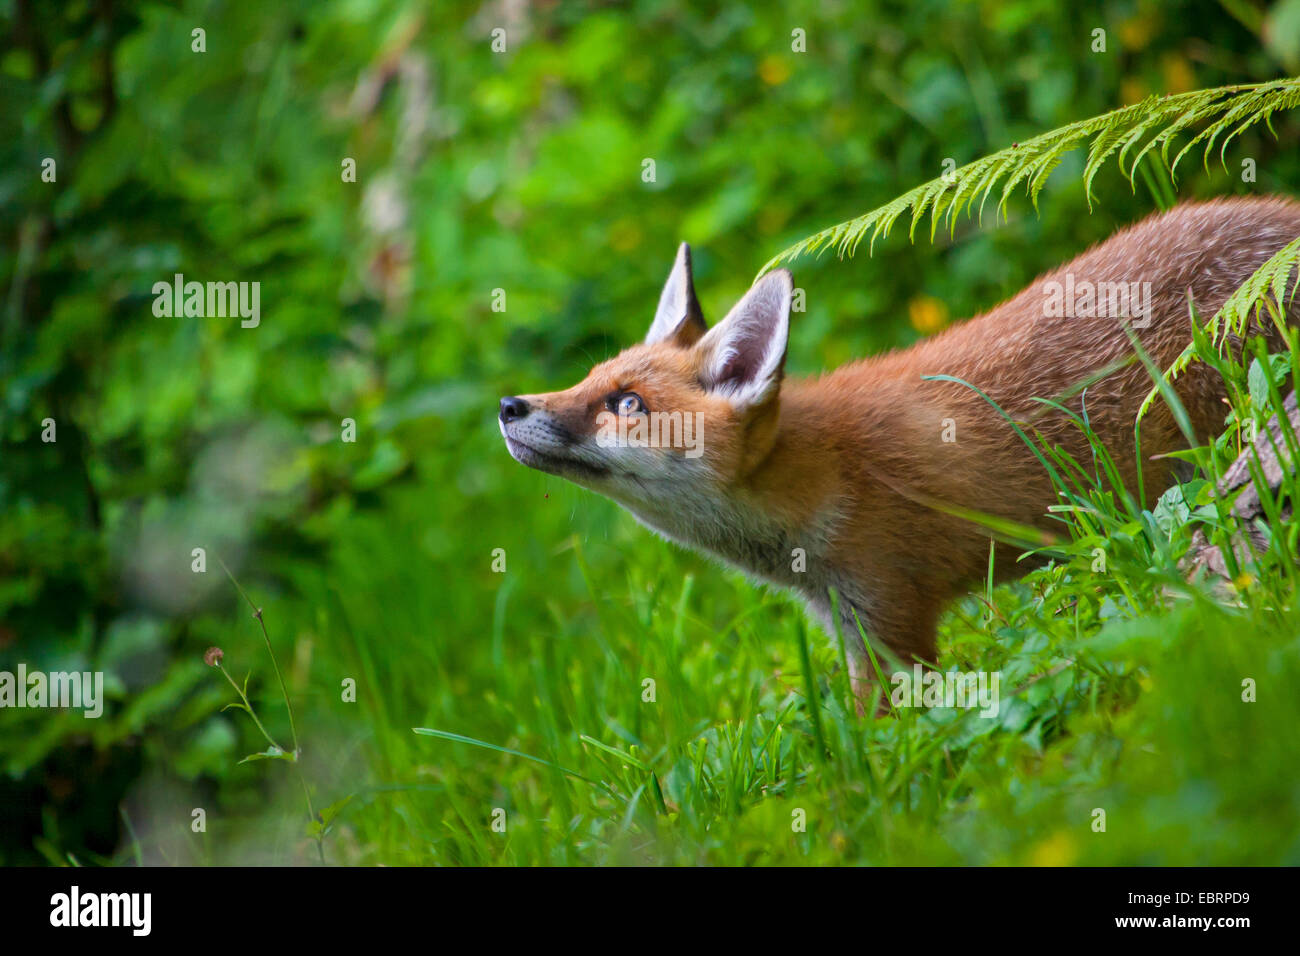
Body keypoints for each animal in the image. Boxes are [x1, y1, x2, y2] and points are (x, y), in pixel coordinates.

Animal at [499, 197, 1300, 708]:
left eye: (628, 404)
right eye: (590, 380)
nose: (510, 407)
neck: (823, 478)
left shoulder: (892, 619)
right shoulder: (848, 620)